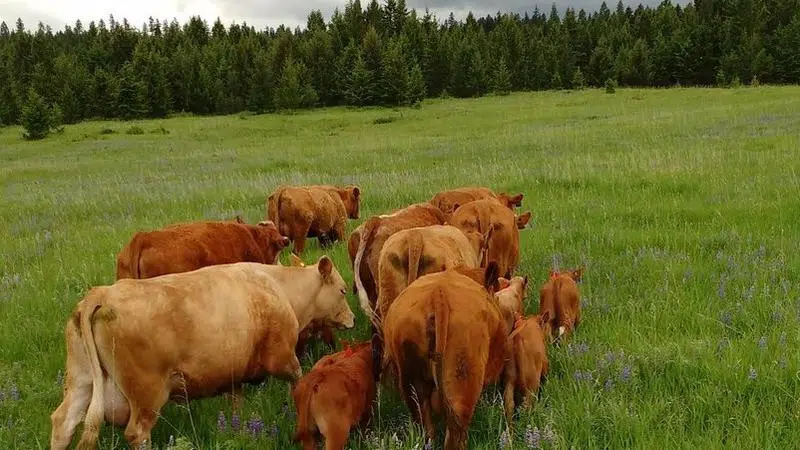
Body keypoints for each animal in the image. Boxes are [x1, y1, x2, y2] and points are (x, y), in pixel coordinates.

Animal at [49, 257, 355, 450]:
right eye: (342, 290)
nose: (352, 319)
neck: (279, 287)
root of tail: (102, 295)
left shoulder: (234, 370)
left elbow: (236, 402)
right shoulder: (282, 357)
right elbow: (298, 378)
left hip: (81, 381)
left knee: (63, 422)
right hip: (147, 393)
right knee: (138, 433)